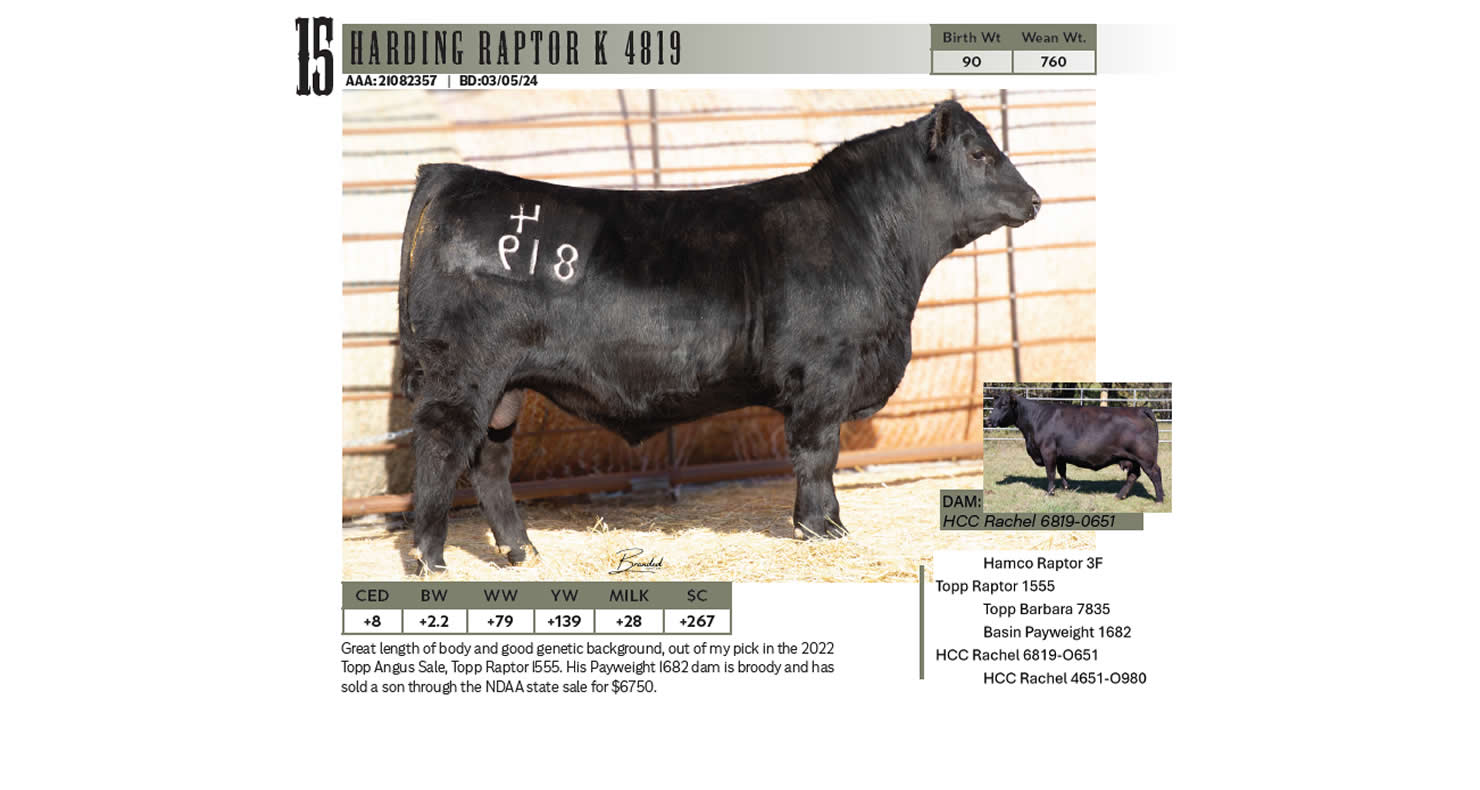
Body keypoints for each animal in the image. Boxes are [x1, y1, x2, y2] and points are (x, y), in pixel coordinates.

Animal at [397, 100, 1041, 571]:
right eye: (980, 153)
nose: (1035, 199)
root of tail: (448, 176)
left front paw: (826, 526)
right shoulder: (825, 378)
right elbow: (817, 456)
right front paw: (821, 529)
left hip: (504, 388)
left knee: (489, 462)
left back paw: (522, 551)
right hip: (463, 374)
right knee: (441, 449)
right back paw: (432, 559)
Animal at [985, 391, 1165, 502]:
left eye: (1004, 405)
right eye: (994, 405)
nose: (988, 421)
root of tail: (1140, 409)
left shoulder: (1048, 451)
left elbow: (1050, 473)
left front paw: (1050, 492)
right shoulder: (1060, 455)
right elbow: (1062, 471)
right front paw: (1066, 488)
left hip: (1145, 457)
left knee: (1155, 473)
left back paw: (1159, 499)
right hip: (1133, 458)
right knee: (1133, 475)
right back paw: (1119, 495)